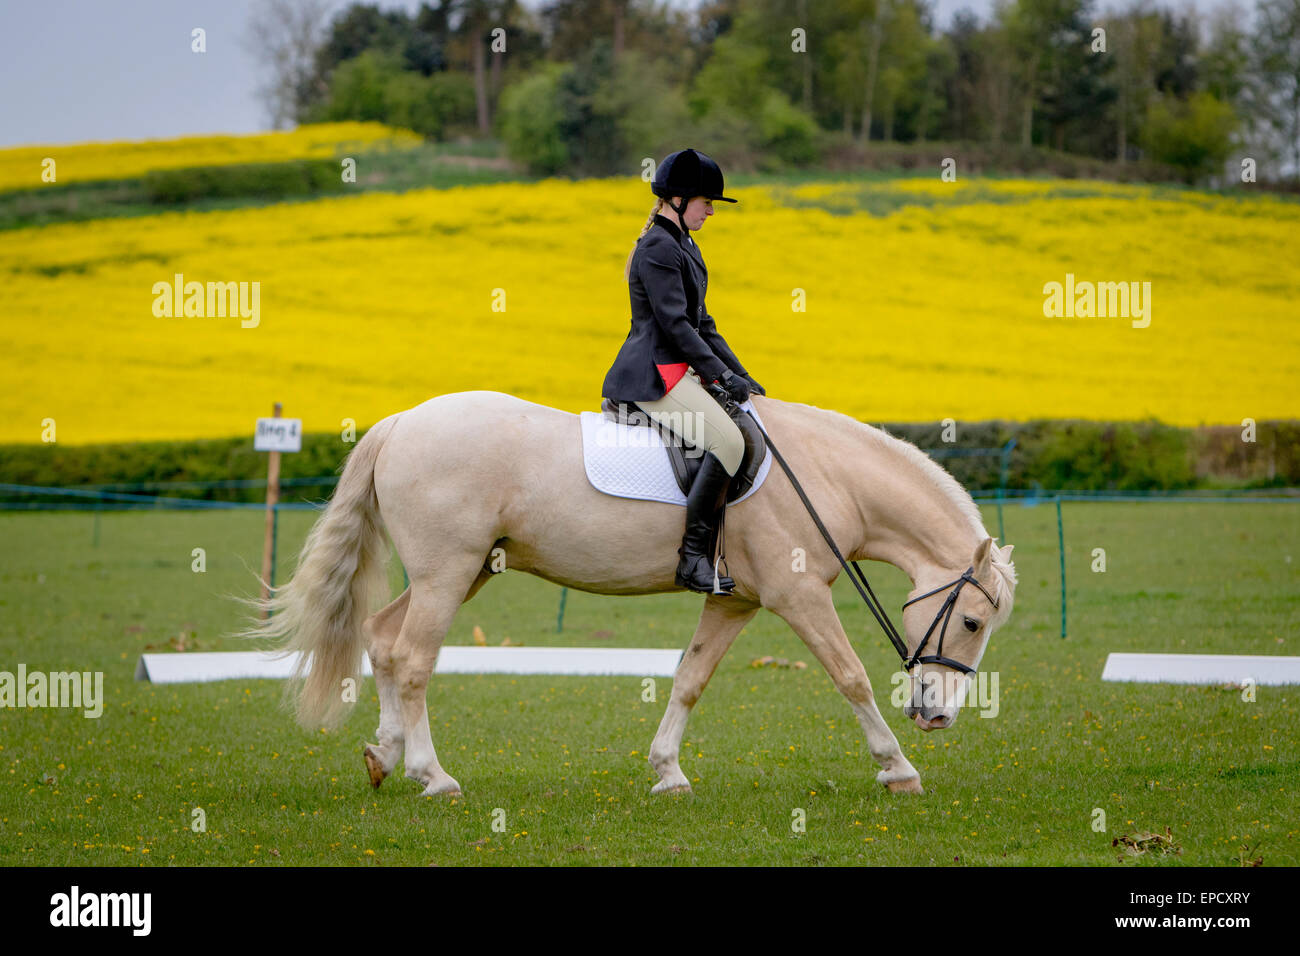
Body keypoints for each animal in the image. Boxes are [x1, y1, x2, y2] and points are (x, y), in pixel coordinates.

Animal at [244, 390, 1017, 797]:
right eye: (973, 623)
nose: (938, 717)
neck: (827, 477)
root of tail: (401, 422)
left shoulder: (733, 601)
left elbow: (690, 678)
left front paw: (667, 772)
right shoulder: (799, 597)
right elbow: (850, 675)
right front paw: (899, 768)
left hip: (466, 573)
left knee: (380, 638)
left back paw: (385, 755)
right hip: (446, 573)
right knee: (411, 660)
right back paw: (434, 776)